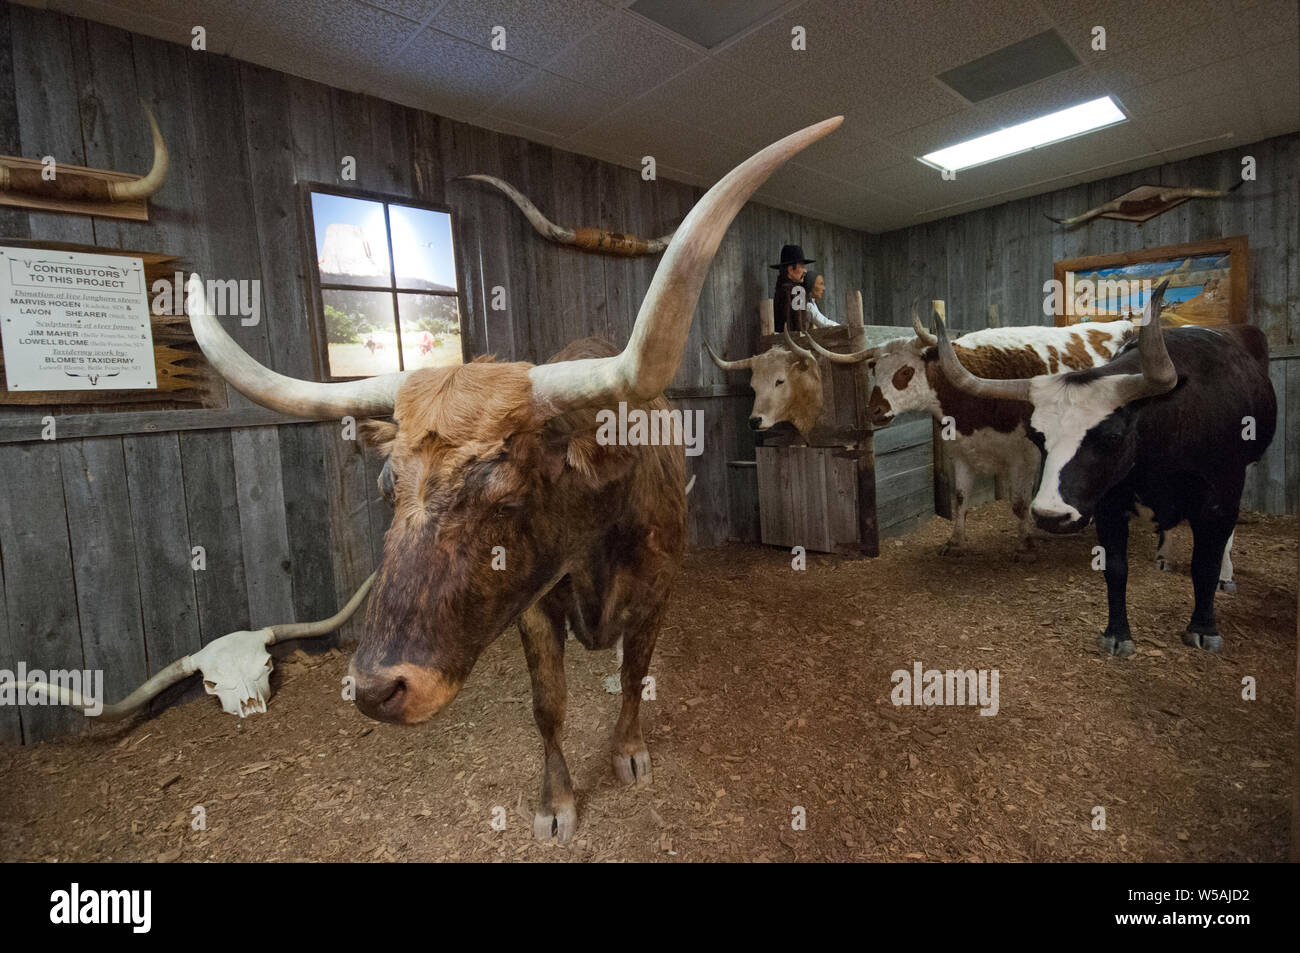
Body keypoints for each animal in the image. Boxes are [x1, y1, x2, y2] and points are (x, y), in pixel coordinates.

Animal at [185, 117, 842, 841]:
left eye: (507, 492)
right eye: (388, 486)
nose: (377, 689)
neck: (594, 542)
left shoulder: (660, 587)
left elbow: (637, 670)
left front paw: (628, 749)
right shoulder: (535, 607)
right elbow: (547, 703)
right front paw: (556, 802)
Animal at [807, 310, 1136, 559]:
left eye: (905, 372)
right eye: (875, 370)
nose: (873, 411)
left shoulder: (1025, 455)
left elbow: (1019, 502)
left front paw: (1026, 545)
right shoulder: (961, 453)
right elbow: (960, 498)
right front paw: (955, 542)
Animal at [932, 280, 1276, 657]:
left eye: (1112, 436)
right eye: (1038, 437)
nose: (1051, 516)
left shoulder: (1220, 499)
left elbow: (1206, 564)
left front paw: (1202, 628)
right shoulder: (1108, 503)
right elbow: (1115, 569)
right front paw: (1117, 634)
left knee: (1227, 542)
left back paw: (1226, 576)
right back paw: (1163, 556)